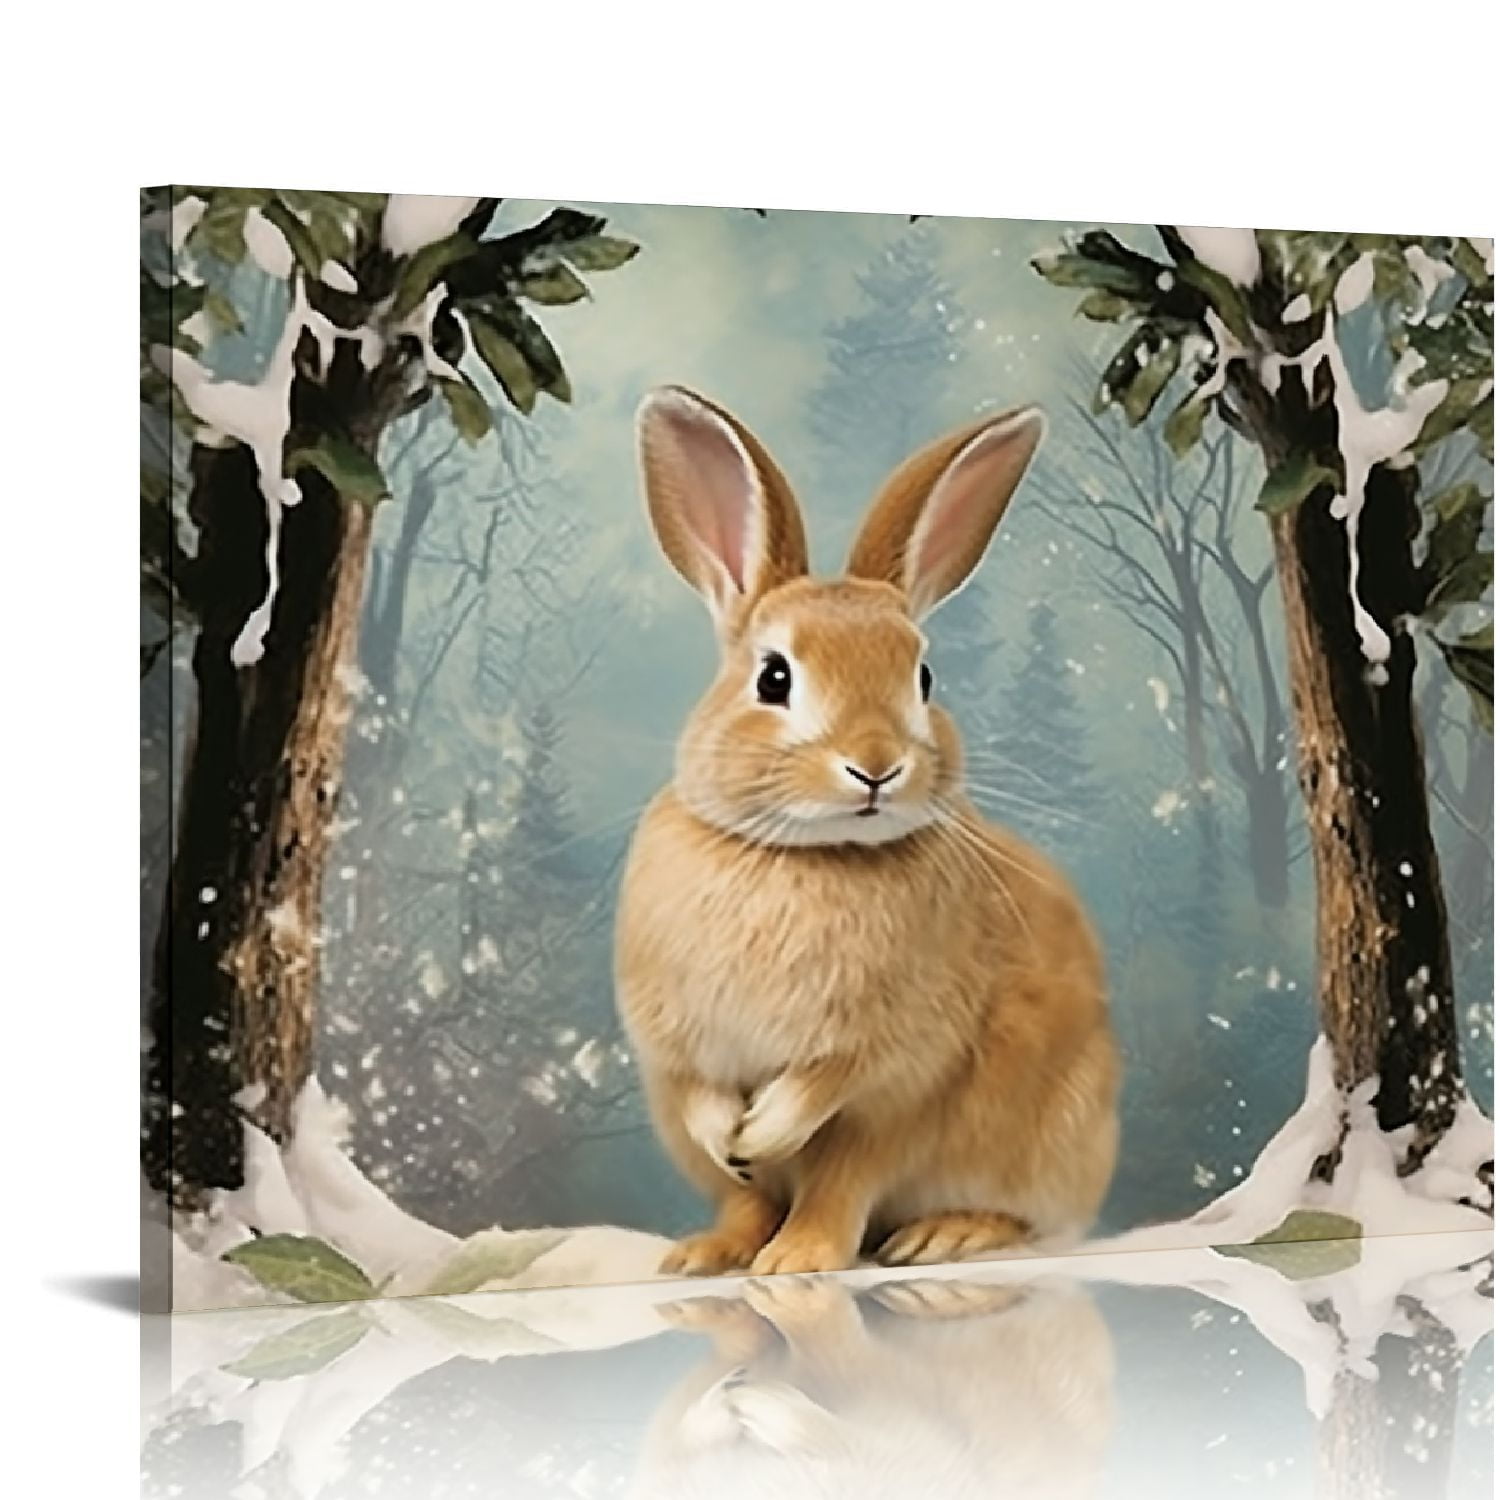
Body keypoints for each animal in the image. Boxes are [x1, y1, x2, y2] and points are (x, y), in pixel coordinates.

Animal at [615, 385, 1119, 1278]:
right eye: (773, 677)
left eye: (923, 677)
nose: (877, 766)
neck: (804, 856)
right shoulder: (674, 1050)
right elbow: (708, 1110)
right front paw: (733, 1151)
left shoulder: (889, 1071)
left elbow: (827, 1112)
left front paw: (776, 1176)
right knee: (748, 1200)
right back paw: (709, 1253)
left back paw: (902, 1241)